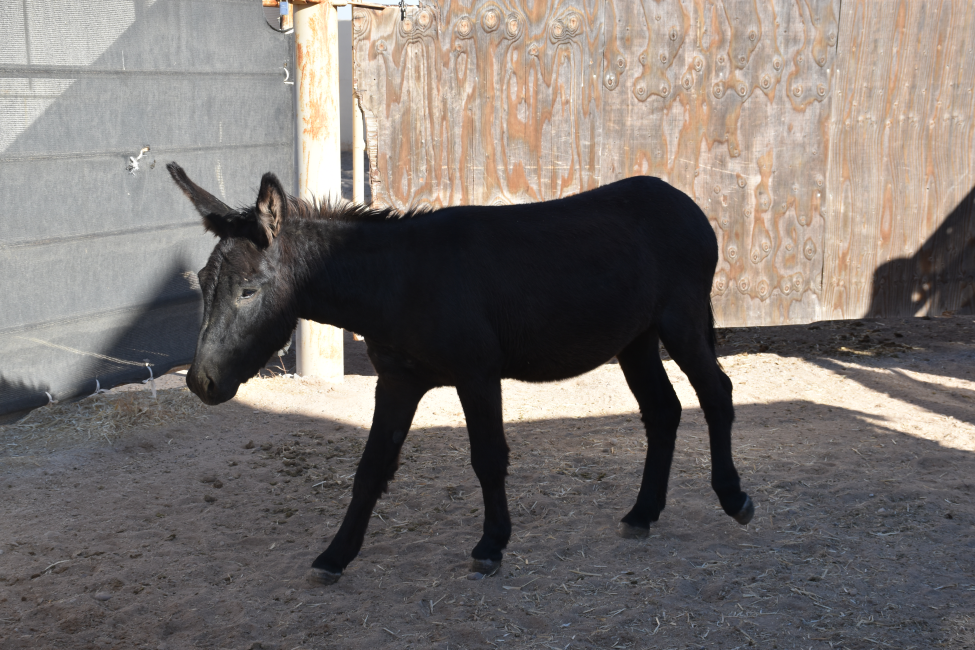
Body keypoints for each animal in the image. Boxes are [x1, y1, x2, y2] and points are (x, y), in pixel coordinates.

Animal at [166, 162, 754, 586]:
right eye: (201, 283)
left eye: (248, 292)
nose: (200, 383)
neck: (398, 282)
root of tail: (682, 199)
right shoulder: (397, 383)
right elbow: (370, 468)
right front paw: (335, 556)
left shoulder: (478, 375)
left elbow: (488, 458)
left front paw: (492, 545)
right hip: (635, 338)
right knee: (663, 411)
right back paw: (642, 513)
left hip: (679, 320)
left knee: (717, 393)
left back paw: (733, 498)